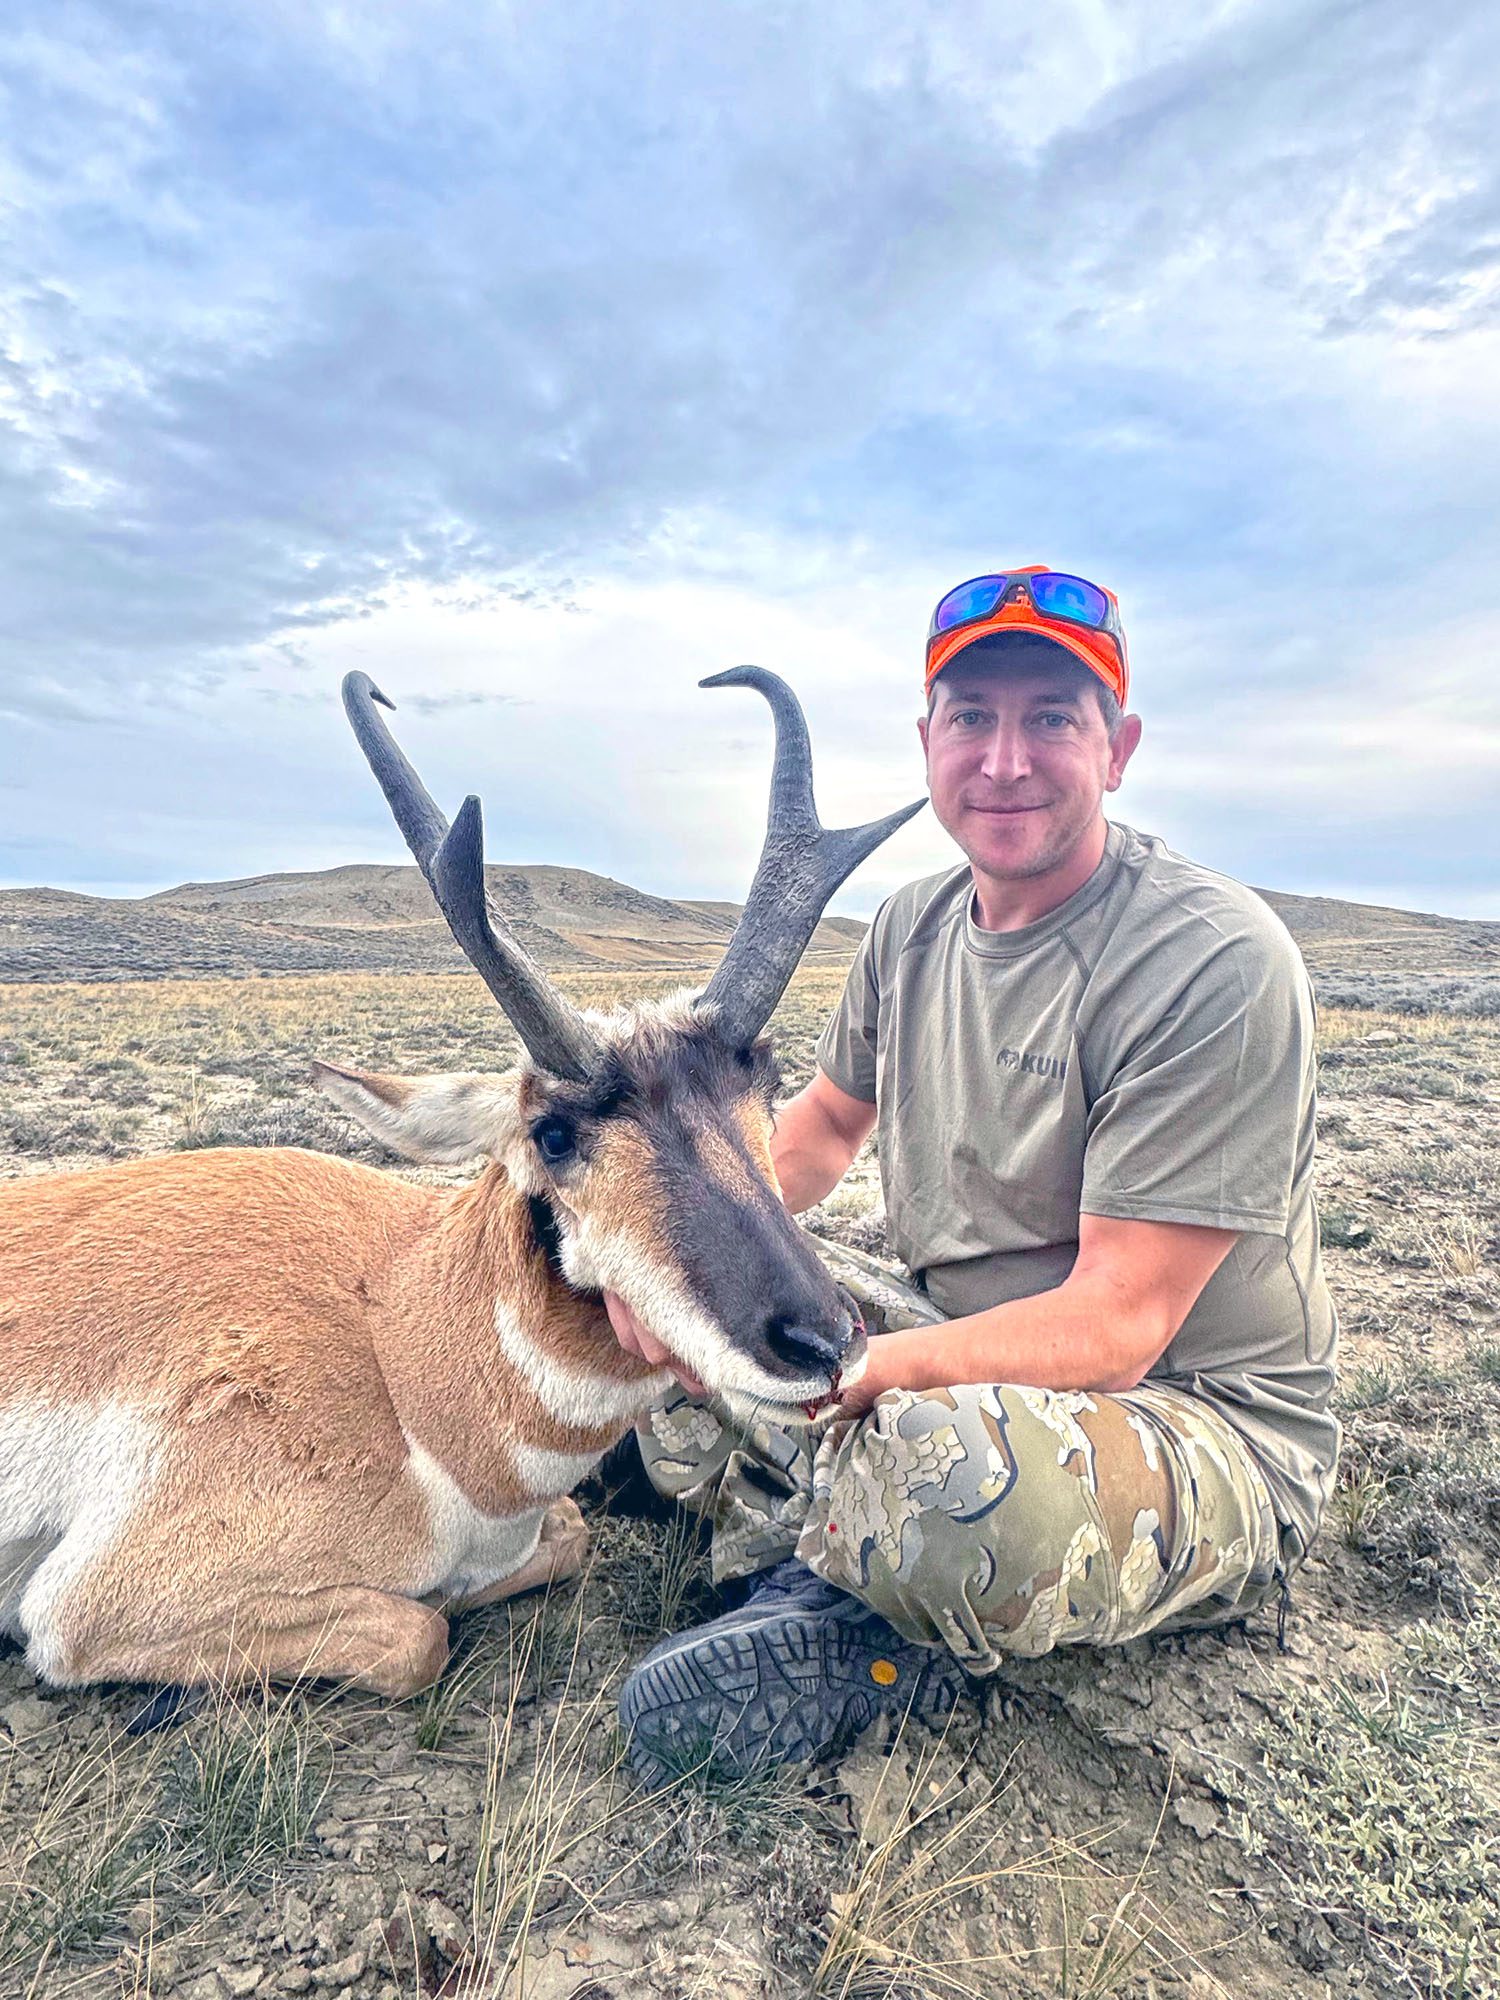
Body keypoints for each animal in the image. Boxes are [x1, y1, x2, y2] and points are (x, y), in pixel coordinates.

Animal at [0, 669, 920, 1702]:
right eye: (552, 1135)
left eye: (765, 1083)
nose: (823, 1341)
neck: (392, 1343)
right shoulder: (85, 1609)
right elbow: (418, 1632)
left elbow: (564, 1533)